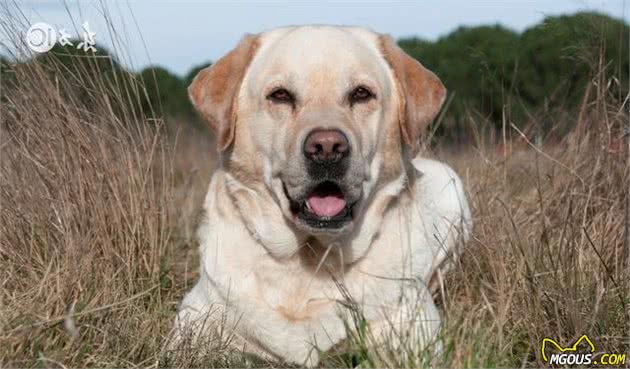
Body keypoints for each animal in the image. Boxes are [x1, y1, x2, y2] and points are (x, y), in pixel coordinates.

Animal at [175, 25, 472, 366]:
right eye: (280, 95)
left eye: (361, 94)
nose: (328, 147)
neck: (310, 260)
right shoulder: (192, 322)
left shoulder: (415, 338)